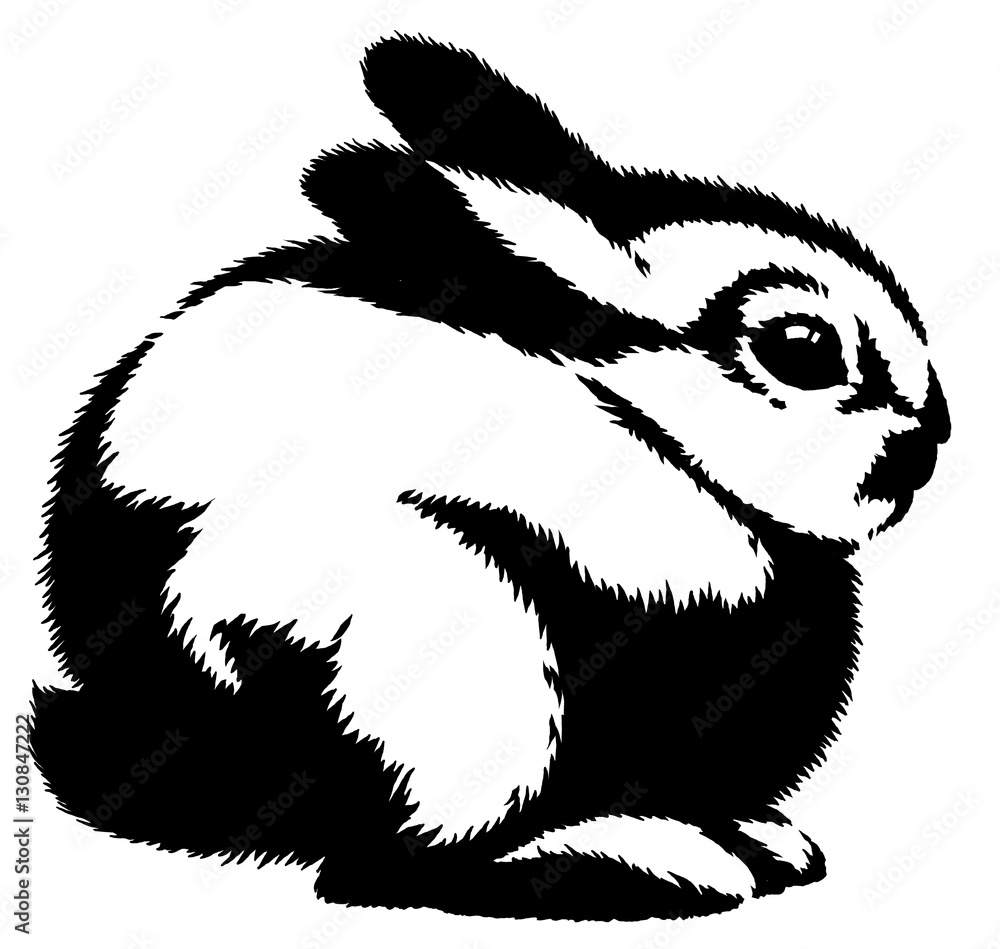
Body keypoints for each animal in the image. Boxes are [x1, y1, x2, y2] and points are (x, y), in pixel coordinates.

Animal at [31, 34, 950, 921]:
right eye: (800, 347)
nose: (933, 440)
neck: (633, 414)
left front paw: (764, 836)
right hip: (456, 634)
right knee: (389, 865)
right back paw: (638, 863)